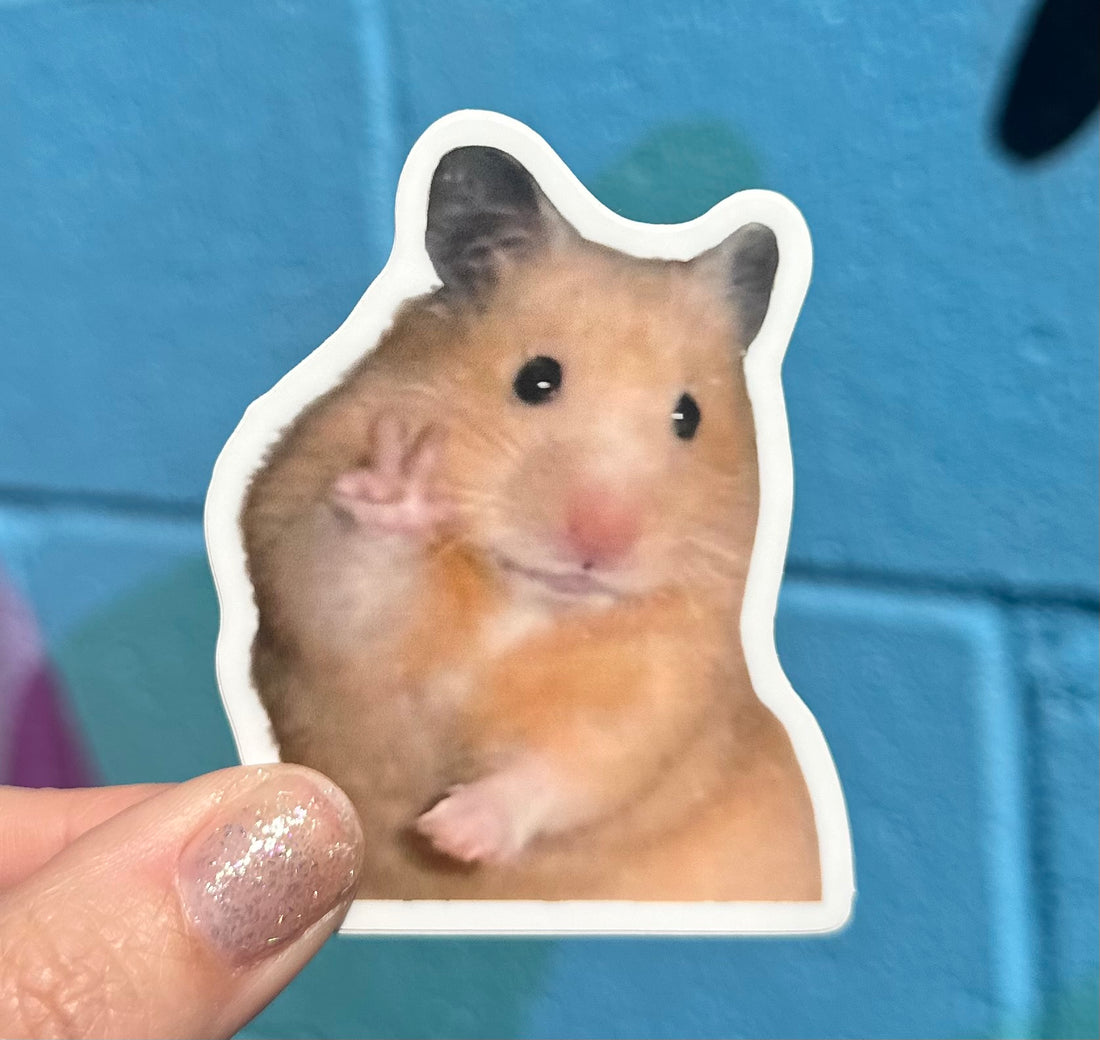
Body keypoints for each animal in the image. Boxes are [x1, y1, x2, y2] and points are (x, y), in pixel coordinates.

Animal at [241, 146, 820, 901]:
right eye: (535, 379)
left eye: (688, 416)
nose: (599, 545)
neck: (526, 603)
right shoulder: (303, 574)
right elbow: (347, 584)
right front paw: (401, 482)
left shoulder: (669, 688)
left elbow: (577, 764)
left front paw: (450, 833)